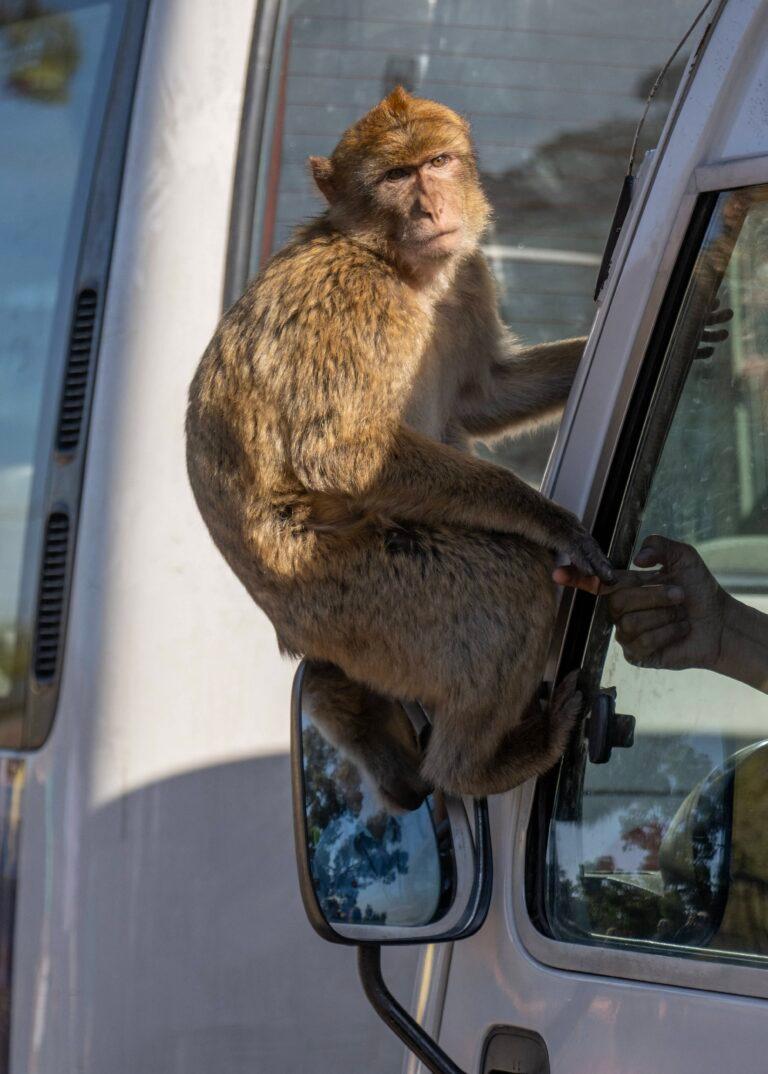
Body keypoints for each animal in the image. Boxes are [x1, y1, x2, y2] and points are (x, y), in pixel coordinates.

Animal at [185, 88, 614, 808]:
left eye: (437, 162)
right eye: (394, 176)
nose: (430, 208)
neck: (400, 267)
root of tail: (286, 628)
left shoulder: (466, 275)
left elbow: (482, 393)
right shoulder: (354, 300)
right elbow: (341, 454)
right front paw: (547, 517)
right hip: (349, 597)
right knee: (509, 583)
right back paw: (474, 768)